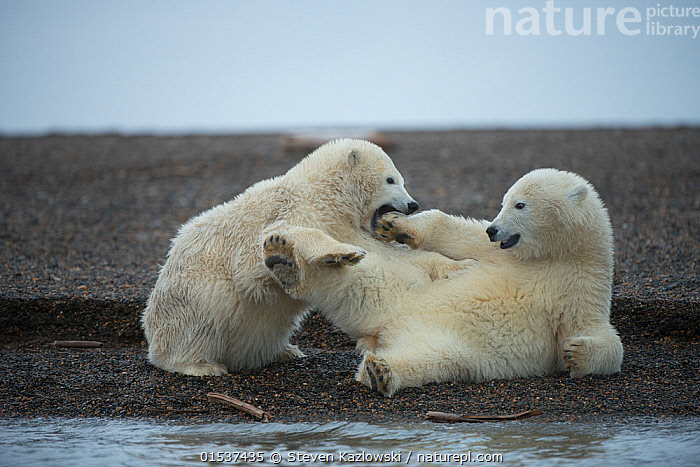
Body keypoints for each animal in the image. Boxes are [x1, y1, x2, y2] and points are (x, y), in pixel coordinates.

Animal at [142, 138, 464, 376]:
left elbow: (393, 255)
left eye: (400, 178)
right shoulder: (291, 212)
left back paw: (285, 351)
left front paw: (455, 266)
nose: (413, 204)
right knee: (202, 317)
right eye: (390, 179)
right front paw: (339, 253)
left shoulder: (345, 225)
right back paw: (199, 365)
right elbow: (261, 252)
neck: (324, 194)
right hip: (189, 298)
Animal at [263, 168, 624, 396]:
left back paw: (380, 372)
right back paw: (283, 256)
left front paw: (577, 352)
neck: (552, 256)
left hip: (444, 341)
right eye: (504, 201)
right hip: (404, 287)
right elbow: (457, 233)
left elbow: (596, 332)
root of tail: (385, 329)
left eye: (520, 204)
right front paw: (395, 225)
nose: (494, 229)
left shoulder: (583, 284)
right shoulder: (499, 254)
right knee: (359, 275)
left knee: (428, 360)